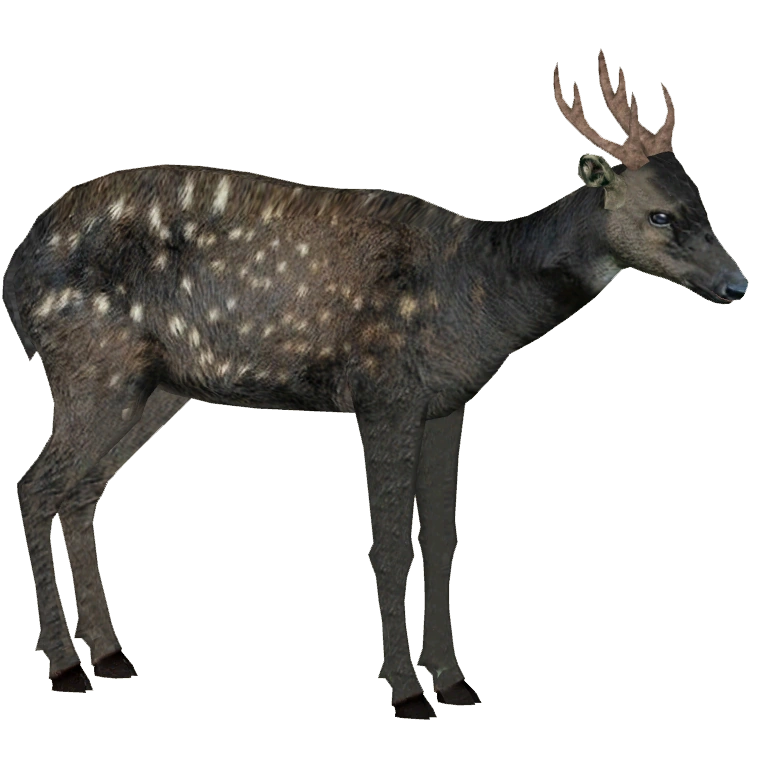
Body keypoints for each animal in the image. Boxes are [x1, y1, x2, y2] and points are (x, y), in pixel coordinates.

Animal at [2, 49, 747, 720]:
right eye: (658, 213)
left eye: (701, 199)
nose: (737, 282)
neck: (480, 295)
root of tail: (15, 274)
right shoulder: (385, 392)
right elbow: (389, 544)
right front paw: (409, 692)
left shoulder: (447, 403)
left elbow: (443, 543)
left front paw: (457, 683)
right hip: (93, 365)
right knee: (37, 481)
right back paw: (66, 668)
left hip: (156, 389)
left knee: (81, 488)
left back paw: (111, 655)